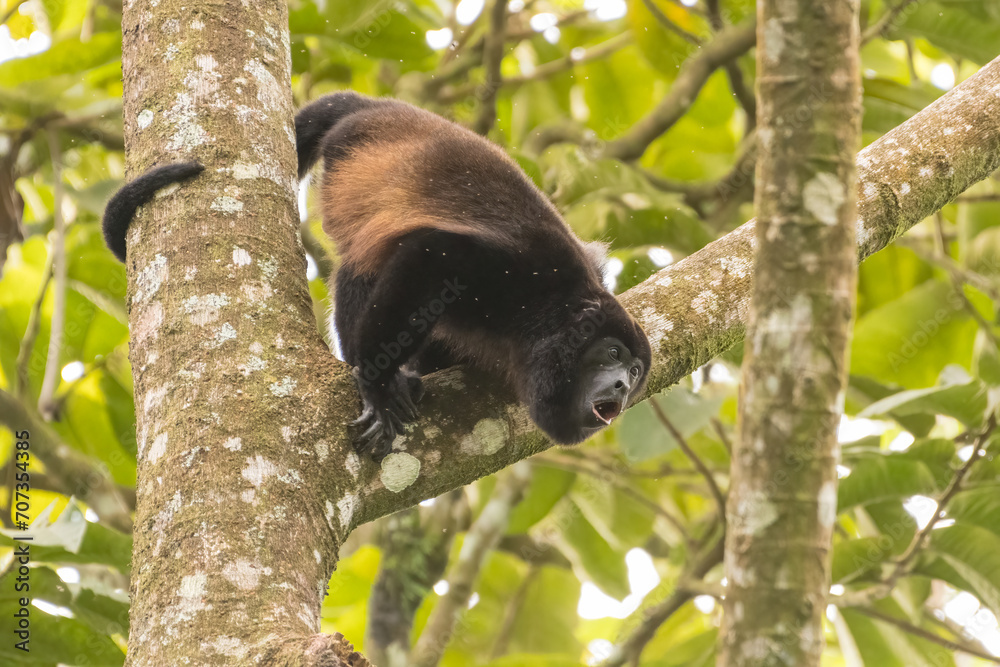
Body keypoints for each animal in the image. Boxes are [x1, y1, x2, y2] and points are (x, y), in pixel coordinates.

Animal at [102, 91, 651, 462]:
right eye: (612, 355)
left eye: (635, 372)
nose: (623, 387)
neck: (553, 312)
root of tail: (377, 105)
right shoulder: (514, 271)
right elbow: (432, 255)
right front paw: (379, 385)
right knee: (362, 264)